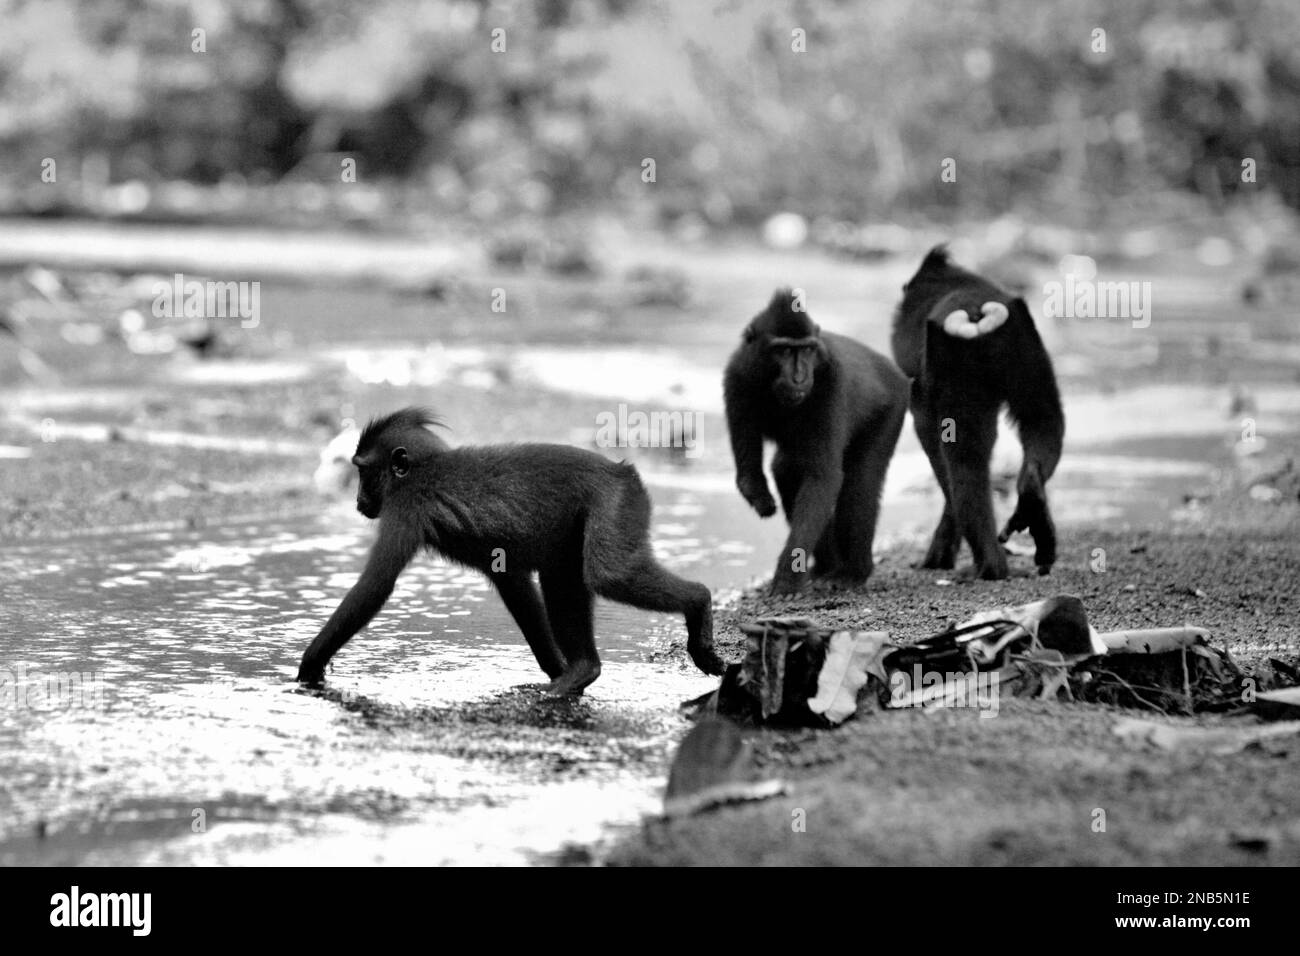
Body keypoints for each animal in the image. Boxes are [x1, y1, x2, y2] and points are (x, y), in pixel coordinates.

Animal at [295, 408, 722, 696]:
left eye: (362, 471)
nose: (359, 501)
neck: (424, 467)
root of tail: (624, 472)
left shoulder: (405, 506)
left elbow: (375, 587)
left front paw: (307, 670)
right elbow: (513, 584)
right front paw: (554, 667)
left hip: (615, 501)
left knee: (609, 573)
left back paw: (699, 603)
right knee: (561, 576)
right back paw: (580, 672)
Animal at [724, 289, 909, 595]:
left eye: (808, 350)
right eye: (784, 350)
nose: (800, 376)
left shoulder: (833, 380)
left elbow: (823, 478)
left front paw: (787, 578)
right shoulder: (736, 377)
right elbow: (749, 476)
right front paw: (763, 500)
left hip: (893, 404)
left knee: (859, 482)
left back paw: (854, 572)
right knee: (787, 470)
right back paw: (828, 565)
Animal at [891, 246, 1065, 579]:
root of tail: (973, 311)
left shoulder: (924, 393)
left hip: (957, 373)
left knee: (964, 465)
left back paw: (990, 564)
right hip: (1025, 349)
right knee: (1043, 418)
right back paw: (1034, 505)